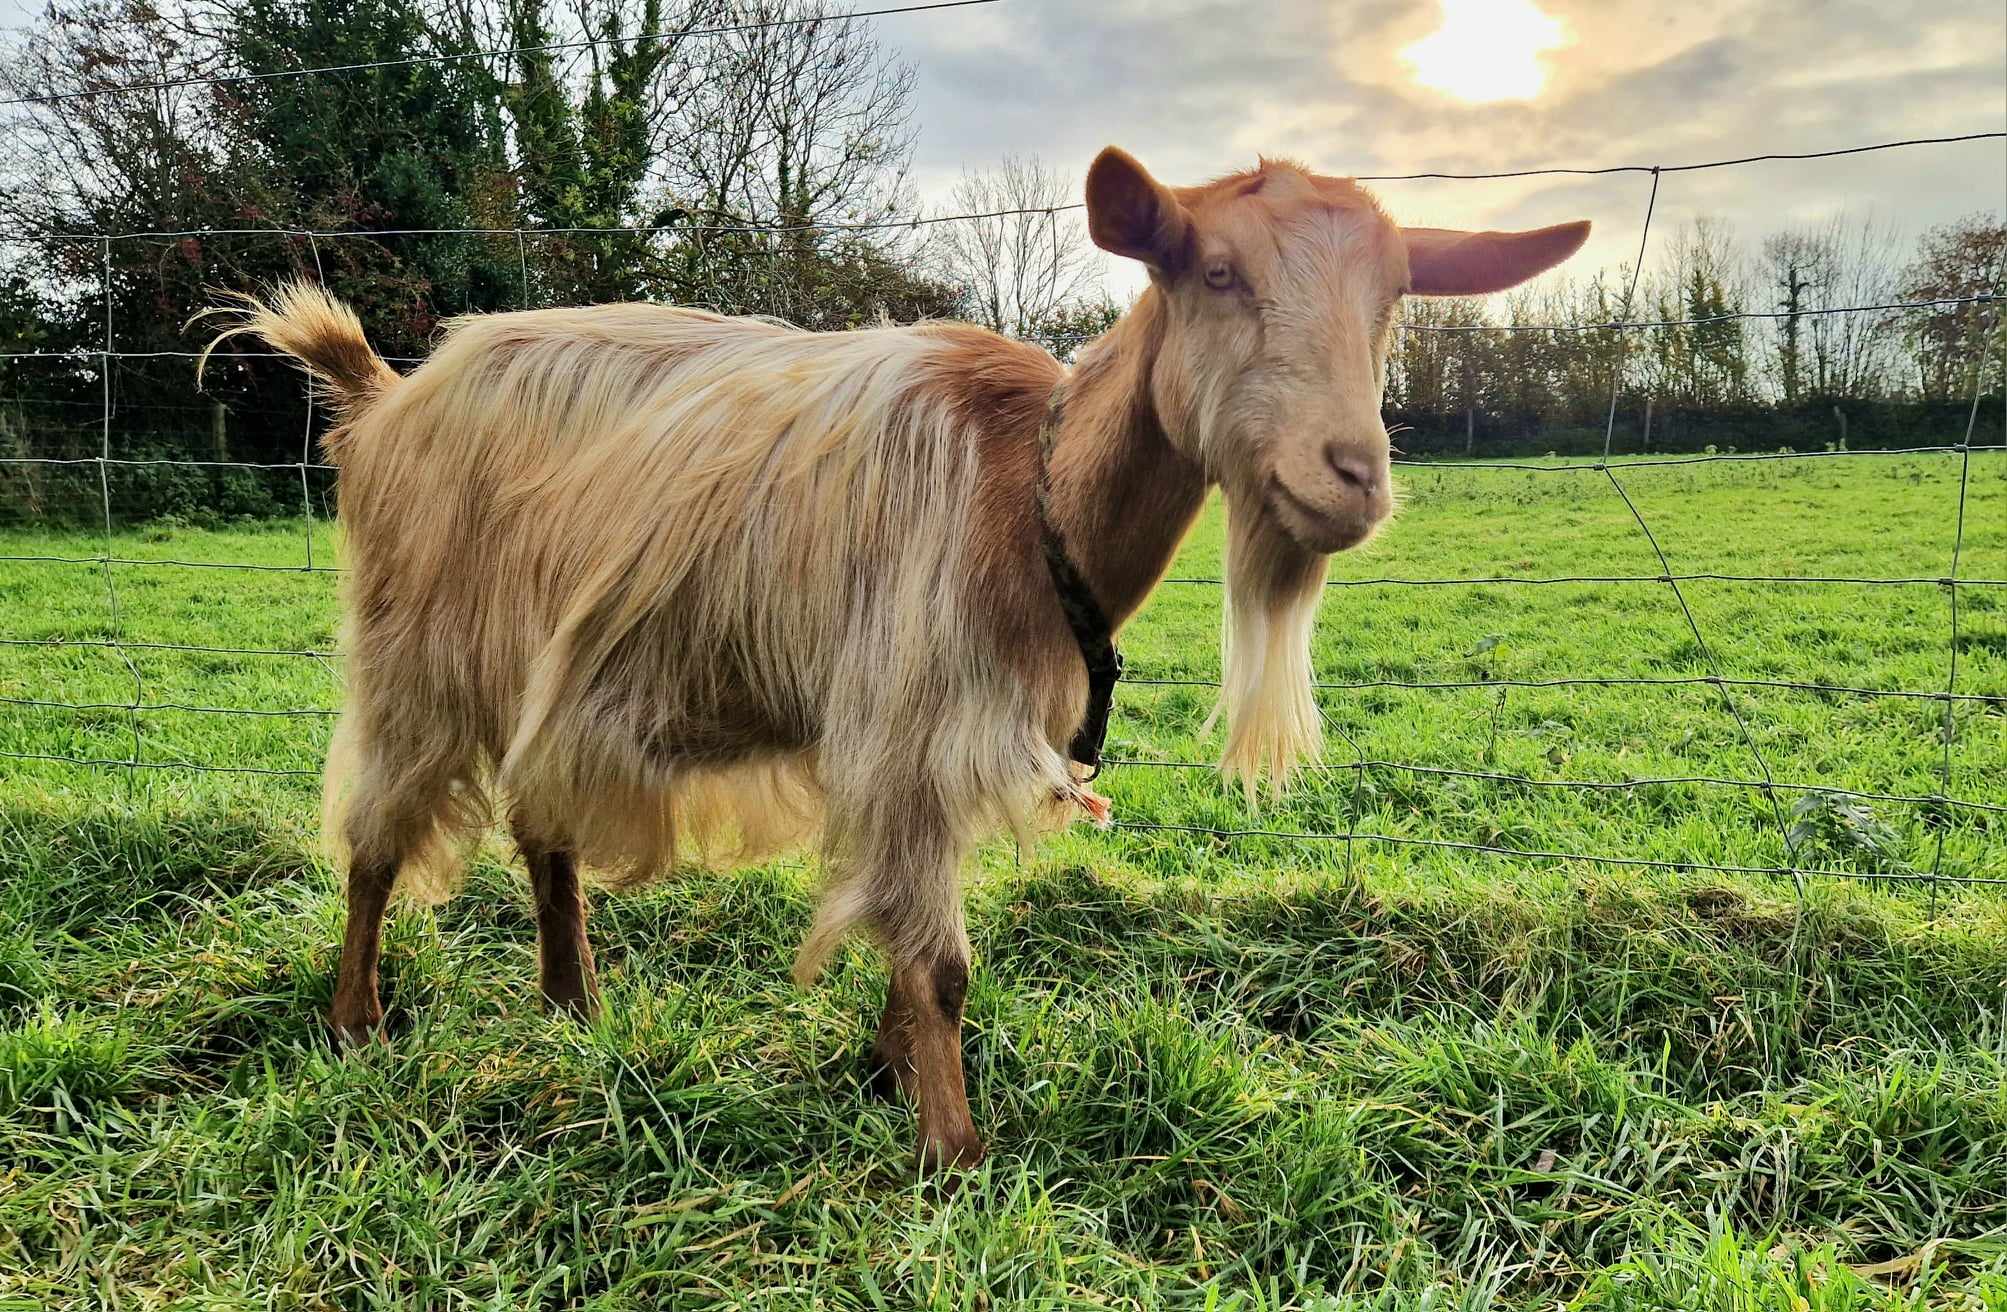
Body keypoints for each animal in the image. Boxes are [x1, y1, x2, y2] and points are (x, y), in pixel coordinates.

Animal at [209, 147, 1588, 1171]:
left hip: (553, 664)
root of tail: (389, 394)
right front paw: (951, 1149)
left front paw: (882, 1072)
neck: (1030, 495)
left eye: (1395, 295)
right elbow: (941, 957)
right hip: (417, 644)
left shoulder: (949, 741)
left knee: (542, 822)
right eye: (1214, 269)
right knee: (377, 838)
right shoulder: (908, 717)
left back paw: (572, 1006)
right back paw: (357, 1023)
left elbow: (915, 928)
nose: (1349, 474)